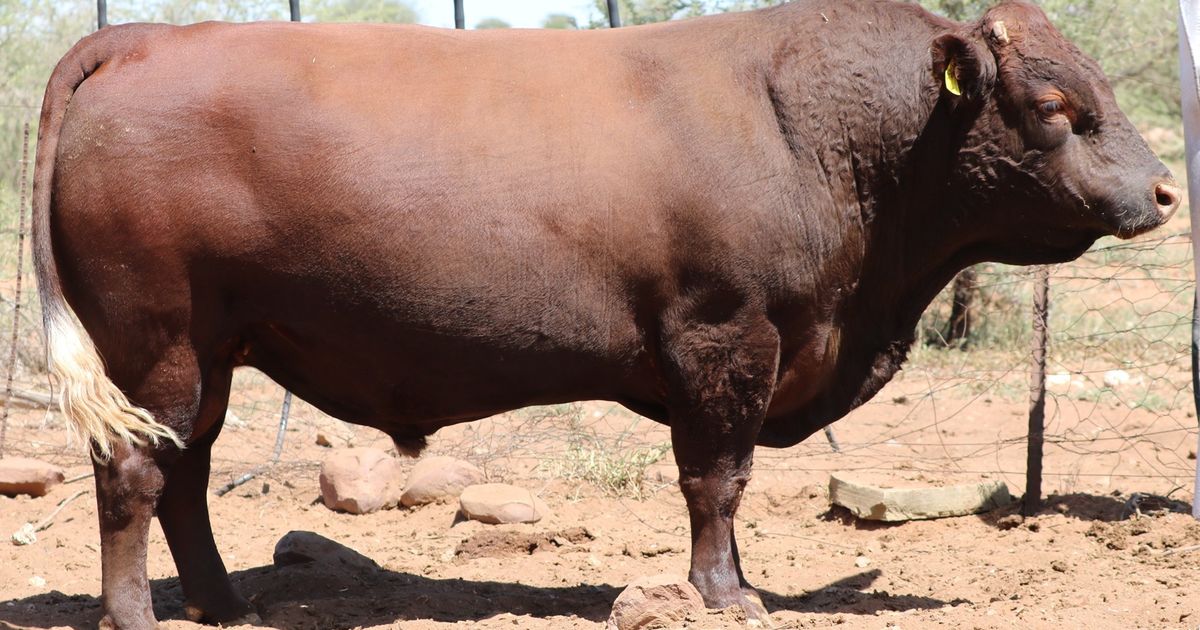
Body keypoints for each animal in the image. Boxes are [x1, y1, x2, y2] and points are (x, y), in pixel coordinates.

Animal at [32, 1, 1178, 628]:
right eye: (1055, 107)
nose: (1167, 191)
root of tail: (144, 39)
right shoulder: (725, 337)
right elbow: (717, 479)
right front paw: (727, 594)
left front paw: (738, 584)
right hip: (158, 343)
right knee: (134, 473)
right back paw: (134, 615)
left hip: (213, 351)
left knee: (183, 474)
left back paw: (222, 603)